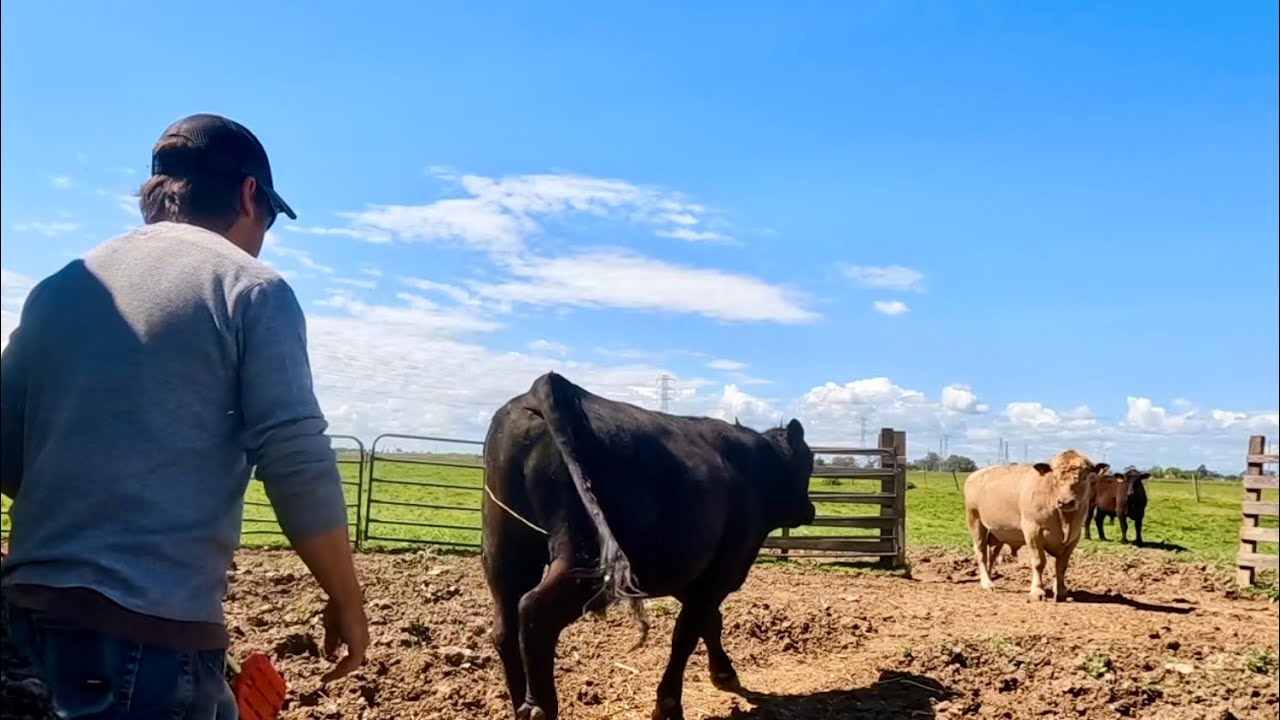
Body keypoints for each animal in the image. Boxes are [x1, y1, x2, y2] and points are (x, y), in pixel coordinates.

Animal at [480, 371, 817, 720]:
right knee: (535, 612)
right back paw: (539, 707)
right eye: (809, 462)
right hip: (581, 557)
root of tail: (549, 385)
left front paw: (724, 673)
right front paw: (669, 702)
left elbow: (710, 623)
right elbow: (686, 635)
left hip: (505, 551)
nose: (810, 509)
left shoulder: (690, 577)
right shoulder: (718, 575)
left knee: (505, 628)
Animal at [963, 450, 1110, 602]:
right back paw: (986, 583)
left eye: (1084, 477)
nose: (1065, 502)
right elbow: (1039, 562)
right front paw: (1037, 591)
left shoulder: (1074, 537)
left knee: (992, 554)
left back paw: (990, 577)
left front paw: (1061, 591)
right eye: (1054, 477)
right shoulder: (1033, 531)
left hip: (998, 532)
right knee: (981, 552)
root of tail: (975, 474)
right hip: (975, 520)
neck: (1065, 520)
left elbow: (1061, 566)